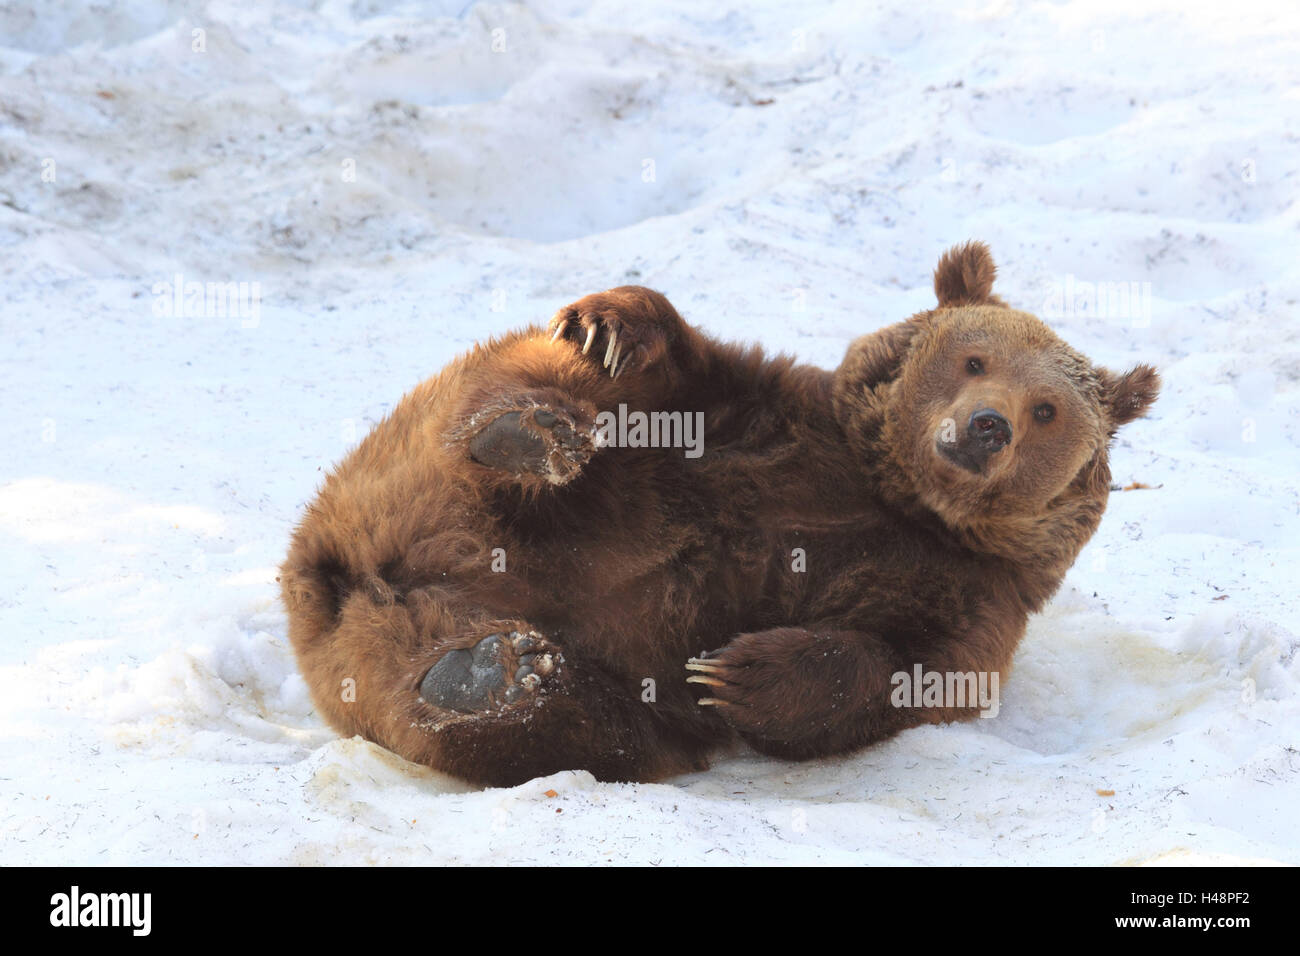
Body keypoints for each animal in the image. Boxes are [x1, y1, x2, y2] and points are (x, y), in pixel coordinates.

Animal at [282, 243, 1159, 790]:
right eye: (975, 358)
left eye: (1047, 409)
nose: (986, 427)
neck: (898, 496)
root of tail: (332, 578)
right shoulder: (762, 422)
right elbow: (680, 365)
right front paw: (610, 323)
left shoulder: (972, 599)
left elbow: (902, 671)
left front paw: (741, 673)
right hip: (402, 473)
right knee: (510, 396)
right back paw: (528, 436)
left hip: (406, 658)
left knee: (566, 723)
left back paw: (492, 674)